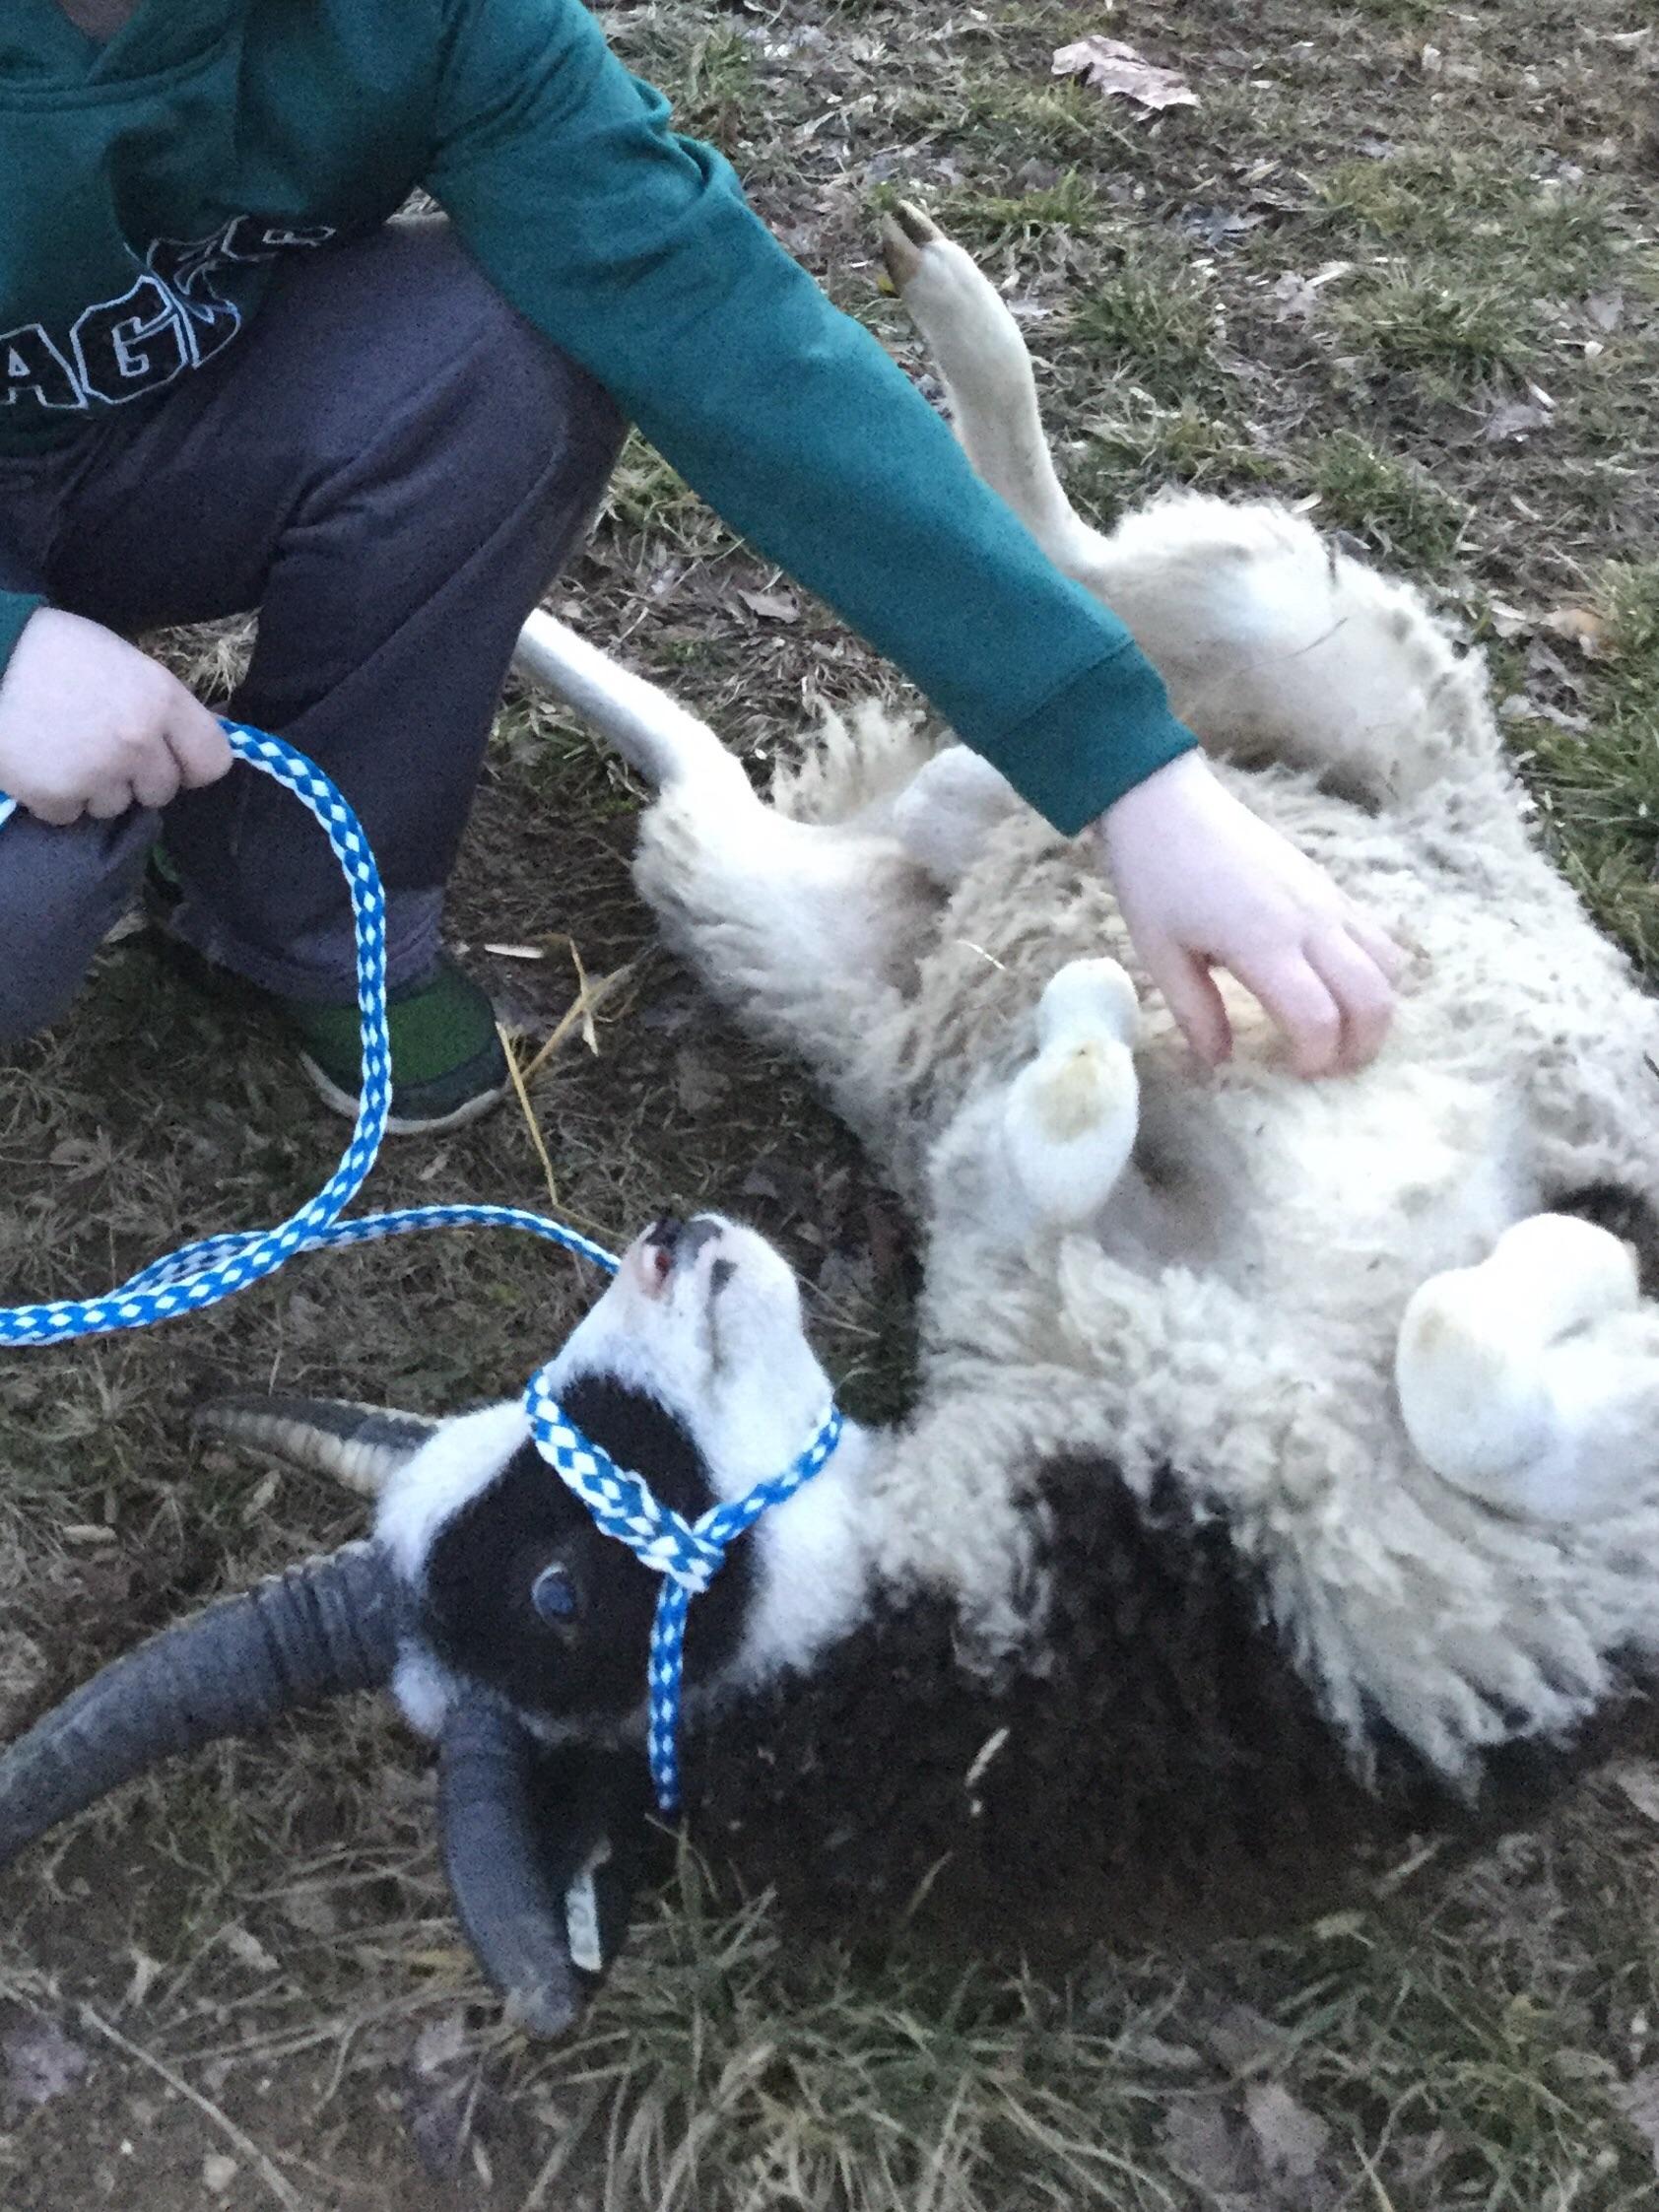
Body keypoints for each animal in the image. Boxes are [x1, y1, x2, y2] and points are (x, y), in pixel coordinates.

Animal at [4, 208, 1659, 2023]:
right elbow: (1265, 1262)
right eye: (558, 1585)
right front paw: (1089, 1052)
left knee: (1083, 588)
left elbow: (1455, 1351)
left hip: (1321, 664)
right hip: (774, 919)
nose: (669, 1241)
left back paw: (939, 360)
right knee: (772, 757)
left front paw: (1576, 1273)